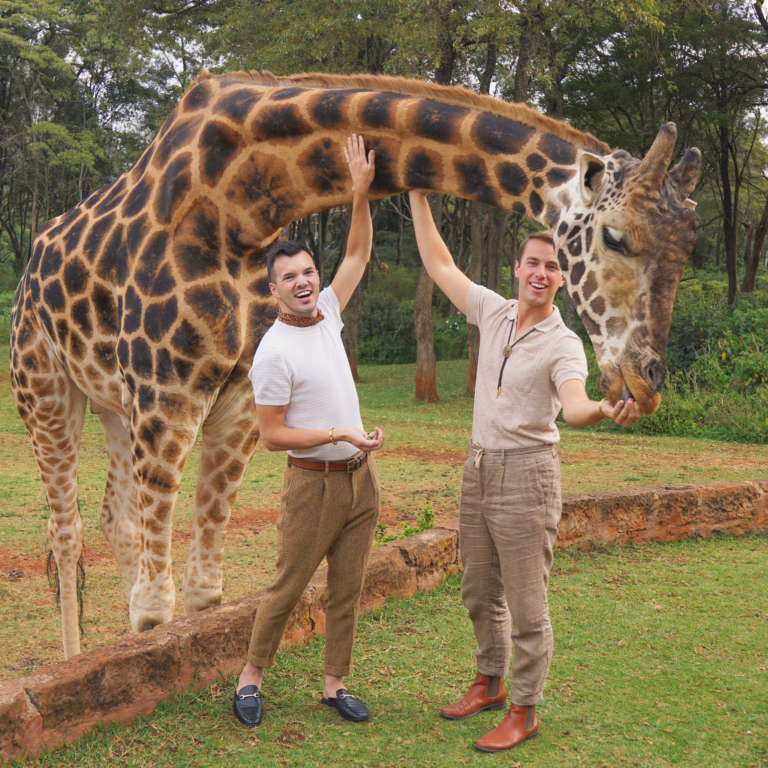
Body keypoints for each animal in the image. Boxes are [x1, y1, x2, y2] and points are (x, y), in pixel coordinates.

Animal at [10, 70, 699, 660]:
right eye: (614, 237)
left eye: (689, 250)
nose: (644, 384)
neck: (241, 205)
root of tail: (27, 271)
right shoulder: (165, 393)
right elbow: (156, 608)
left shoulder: (236, 403)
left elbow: (204, 594)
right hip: (45, 390)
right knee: (66, 533)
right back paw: (72, 657)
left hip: (111, 402)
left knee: (114, 519)